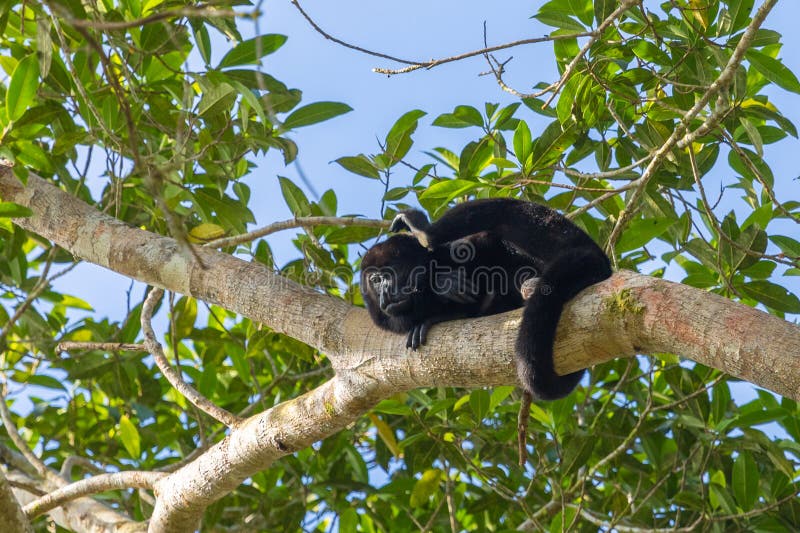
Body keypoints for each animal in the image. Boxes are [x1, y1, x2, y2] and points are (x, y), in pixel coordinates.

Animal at [360, 198, 612, 401]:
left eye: (389, 274)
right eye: (375, 280)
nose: (384, 292)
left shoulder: (458, 249)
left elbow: (489, 241)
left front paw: (443, 284)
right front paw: (443, 298)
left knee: (506, 213)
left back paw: (425, 231)